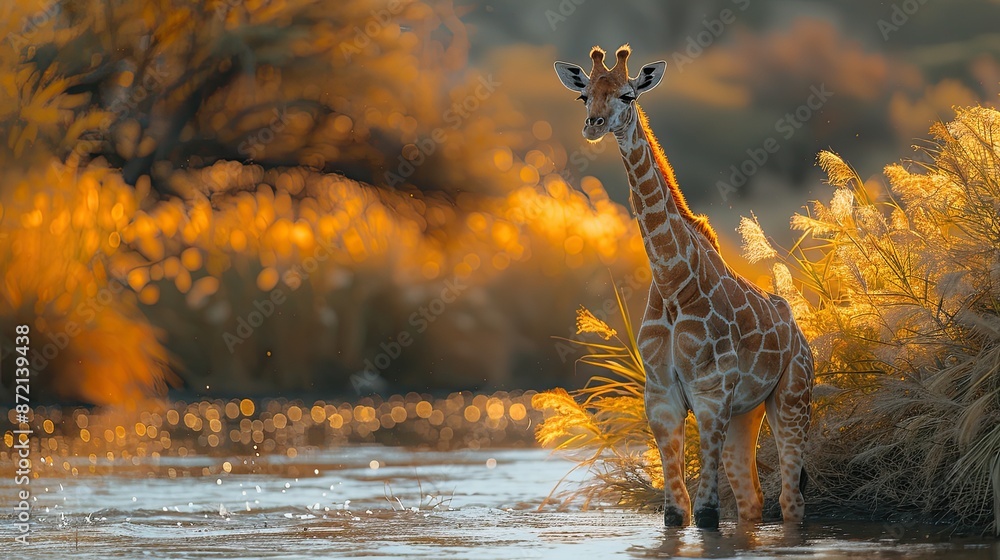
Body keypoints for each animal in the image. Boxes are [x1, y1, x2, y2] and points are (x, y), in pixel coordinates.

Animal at [554, 45, 814, 529]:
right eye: (584, 96)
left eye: (628, 95)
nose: (593, 125)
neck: (673, 282)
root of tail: (803, 340)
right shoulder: (662, 396)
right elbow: (676, 515)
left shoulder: (711, 393)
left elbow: (708, 514)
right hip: (747, 412)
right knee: (752, 502)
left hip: (793, 398)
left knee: (791, 501)